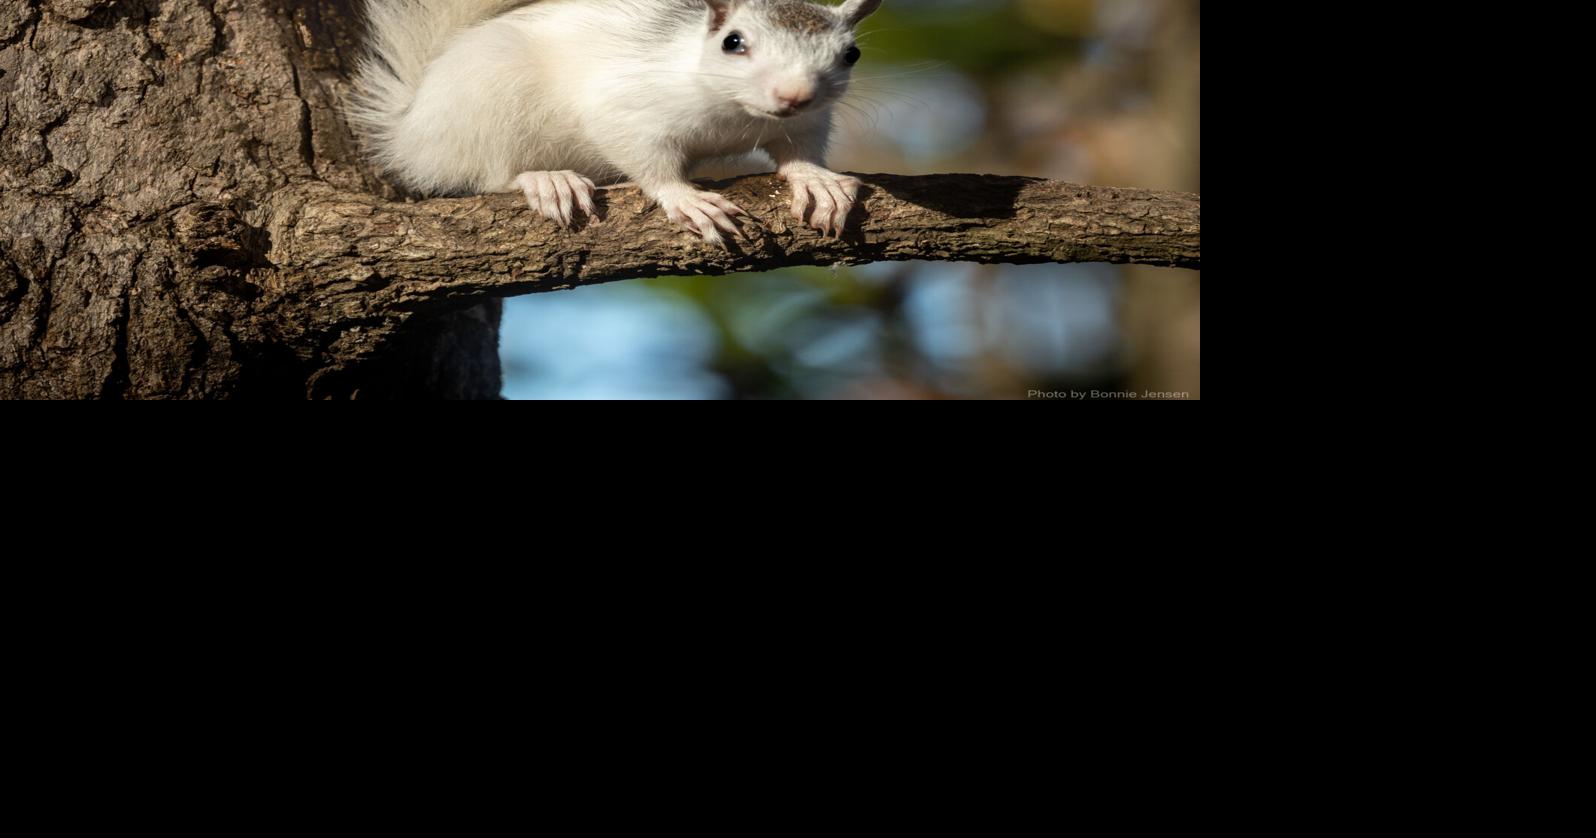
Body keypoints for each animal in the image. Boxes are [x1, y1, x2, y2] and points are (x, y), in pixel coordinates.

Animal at [348, 0, 884, 245]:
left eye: (851, 54)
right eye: (733, 42)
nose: (794, 95)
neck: (737, 114)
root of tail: (412, 127)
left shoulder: (807, 122)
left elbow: (799, 150)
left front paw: (816, 180)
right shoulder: (628, 109)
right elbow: (646, 160)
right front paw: (685, 198)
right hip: (490, 102)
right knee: (490, 176)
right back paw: (547, 180)